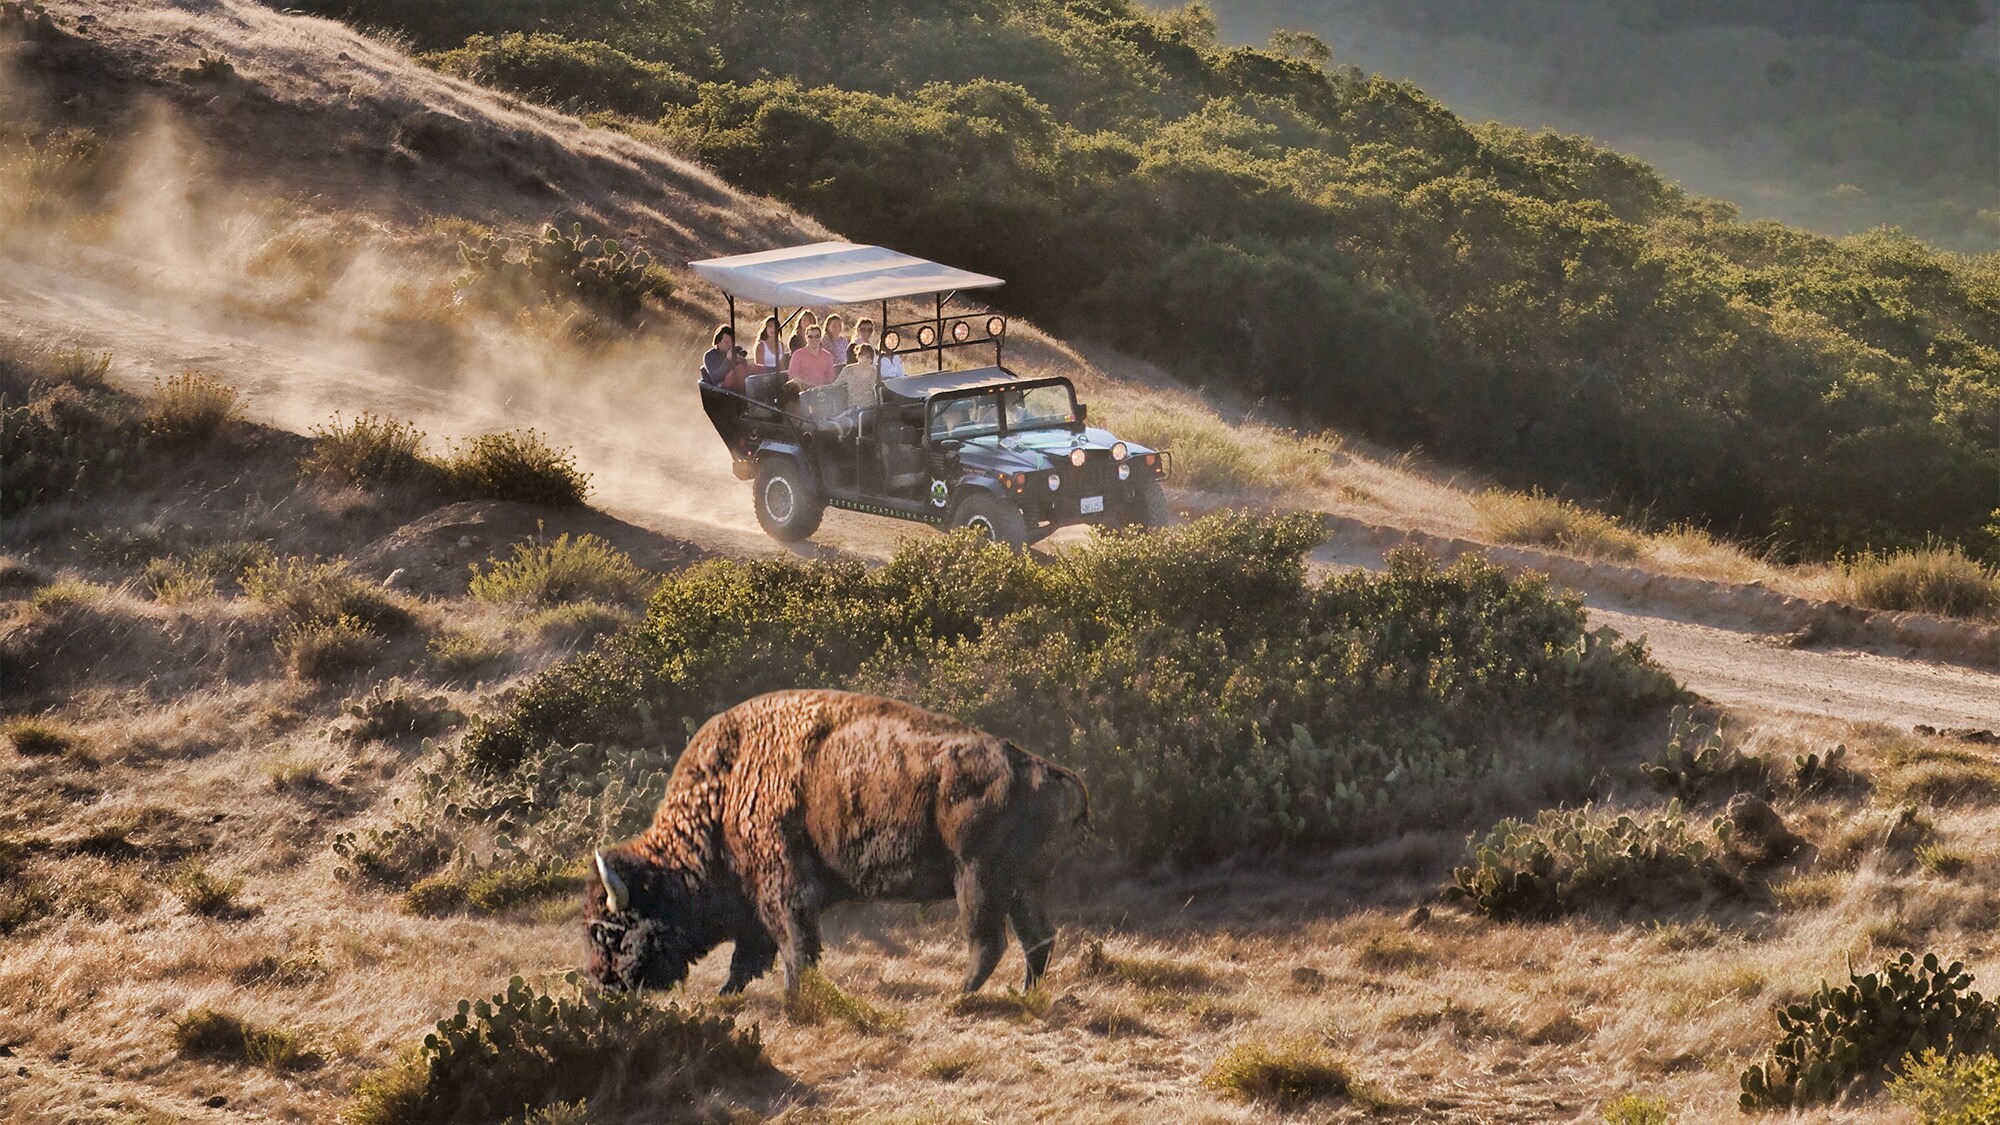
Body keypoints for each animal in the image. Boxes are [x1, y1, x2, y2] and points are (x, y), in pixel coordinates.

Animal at [585, 690, 1089, 995]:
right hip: (1023, 888)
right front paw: (729, 995)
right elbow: (750, 956)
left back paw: (958, 997)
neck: (726, 790)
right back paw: (1024, 995)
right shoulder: (756, 902)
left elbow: (793, 948)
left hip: (978, 881)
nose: (603, 986)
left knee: (989, 942)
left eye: (608, 930)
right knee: (1037, 939)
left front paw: (794, 998)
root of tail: (1044, 768)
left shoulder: (783, 892)